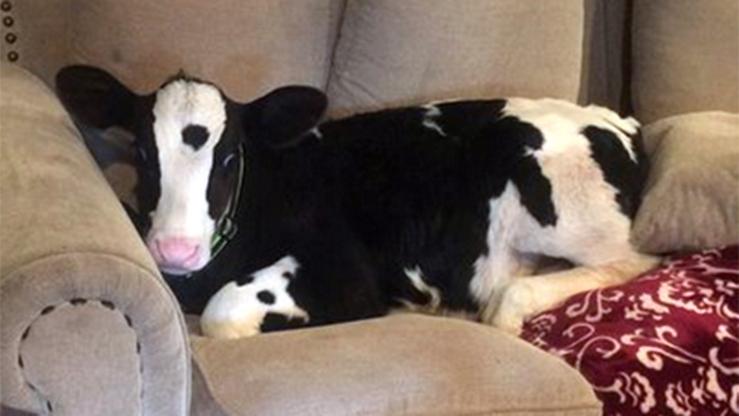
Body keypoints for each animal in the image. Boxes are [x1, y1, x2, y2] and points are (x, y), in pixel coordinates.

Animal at [56, 65, 659, 339]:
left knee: (633, 259)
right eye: (141, 150)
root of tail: (616, 119)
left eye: (229, 156)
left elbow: (224, 312)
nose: (174, 250)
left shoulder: (348, 273)